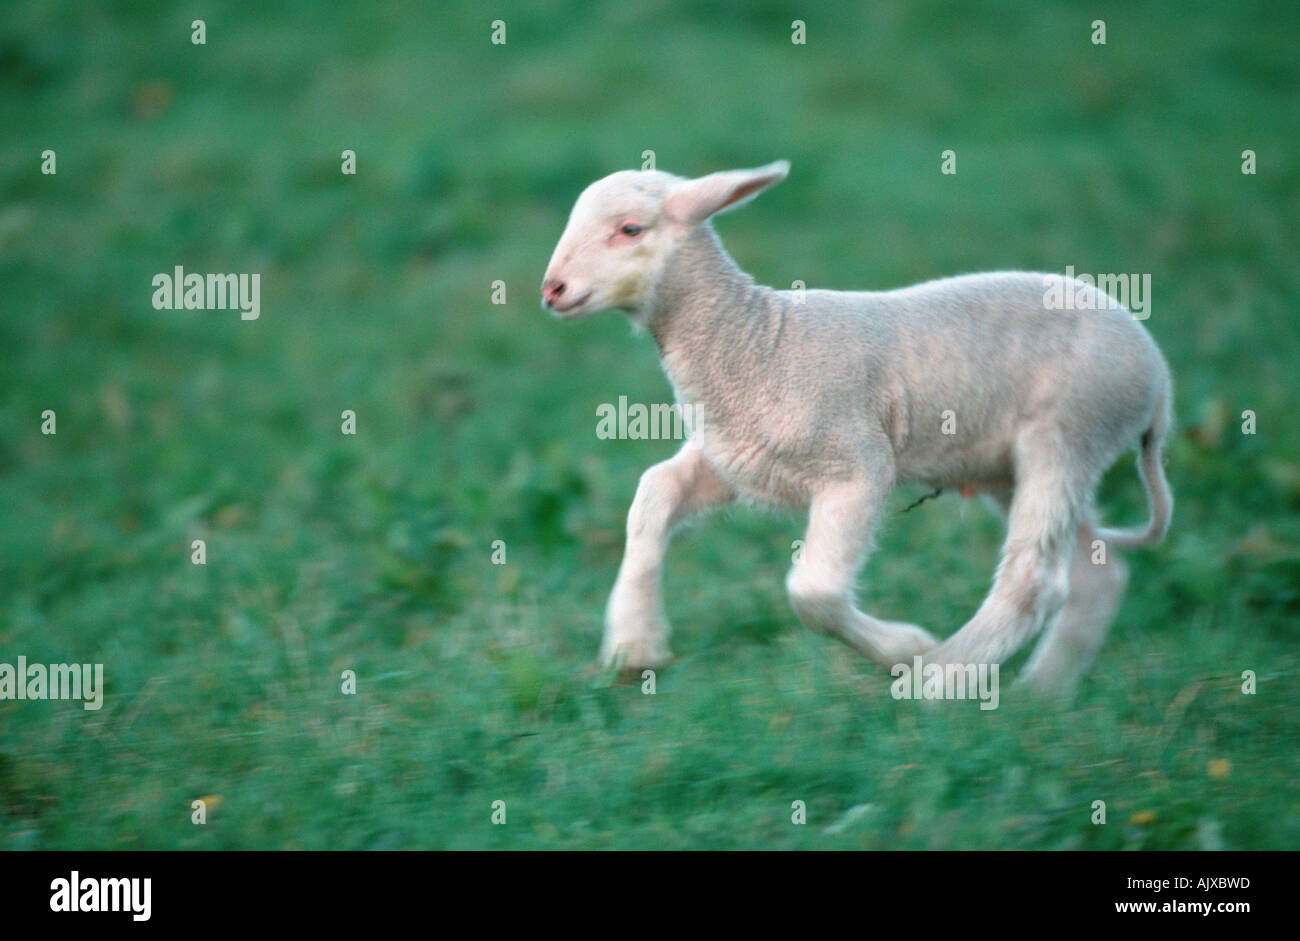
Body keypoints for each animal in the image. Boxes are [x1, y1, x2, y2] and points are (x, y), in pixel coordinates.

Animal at [541, 161, 1172, 694]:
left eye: (629, 230)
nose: (551, 289)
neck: (756, 341)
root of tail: (1157, 374)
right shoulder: (735, 458)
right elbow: (654, 494)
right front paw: (633, 645)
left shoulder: (857, 465)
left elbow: (812, 591)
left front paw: (905, 647)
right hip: (1009, 465)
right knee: (1095, 576)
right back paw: (1040, 695)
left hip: (1068, 432)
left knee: (1033, 579)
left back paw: (939, 681)